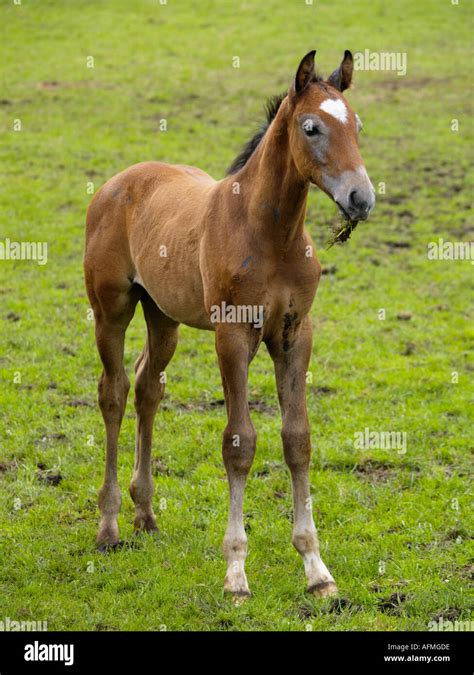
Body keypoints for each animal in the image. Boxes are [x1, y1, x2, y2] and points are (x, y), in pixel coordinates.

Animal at [84, 49, 375, 598]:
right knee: (113, 392)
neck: (270, 234)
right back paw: (109, 526)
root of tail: (117, 182)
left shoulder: (294, 333)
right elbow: (239, 443)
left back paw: (145, 514)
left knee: (147, 387)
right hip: (111, 309)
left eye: (358, 125)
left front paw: (317, 571)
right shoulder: (233, 335)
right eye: (311, 127)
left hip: (164, 316)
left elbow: (297, 440)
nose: (361, 198)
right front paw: (236, 573)